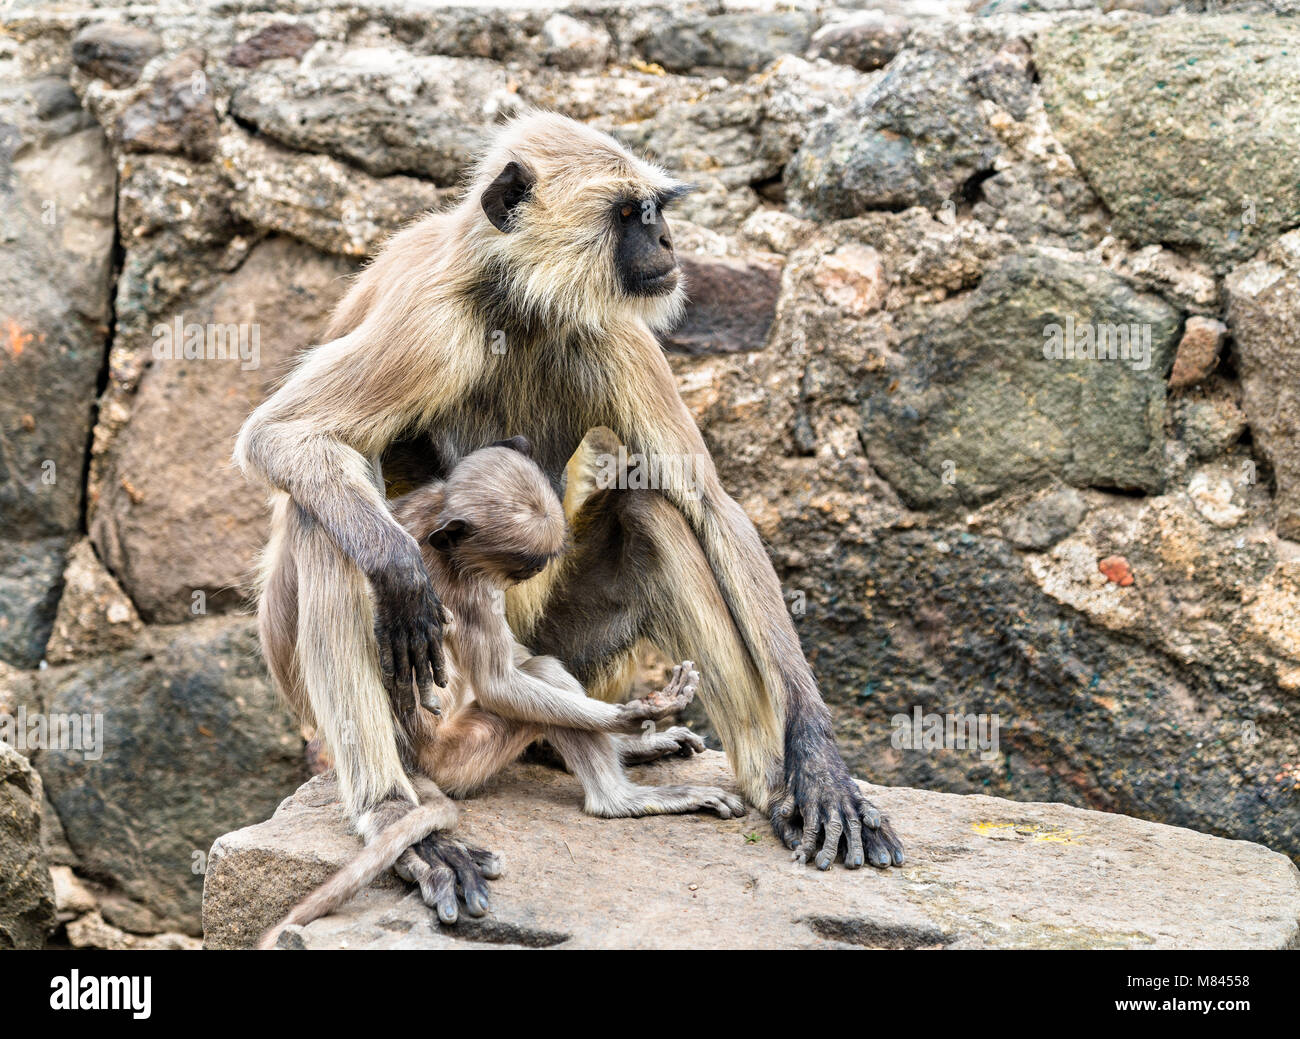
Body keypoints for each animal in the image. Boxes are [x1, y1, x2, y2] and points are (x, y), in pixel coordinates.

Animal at [234, 110, 903, 916]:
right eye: (630, 215)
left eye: (655, 211)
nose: (668, 244)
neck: (517, 304)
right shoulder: (429, 323)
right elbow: (284, 436)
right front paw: (401, 570)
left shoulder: (612, 327)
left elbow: (710, 507)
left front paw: (816, 761)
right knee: (324, 523)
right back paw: (399, 817)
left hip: (567, 644)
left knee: (652, 509)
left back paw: (760, 785)